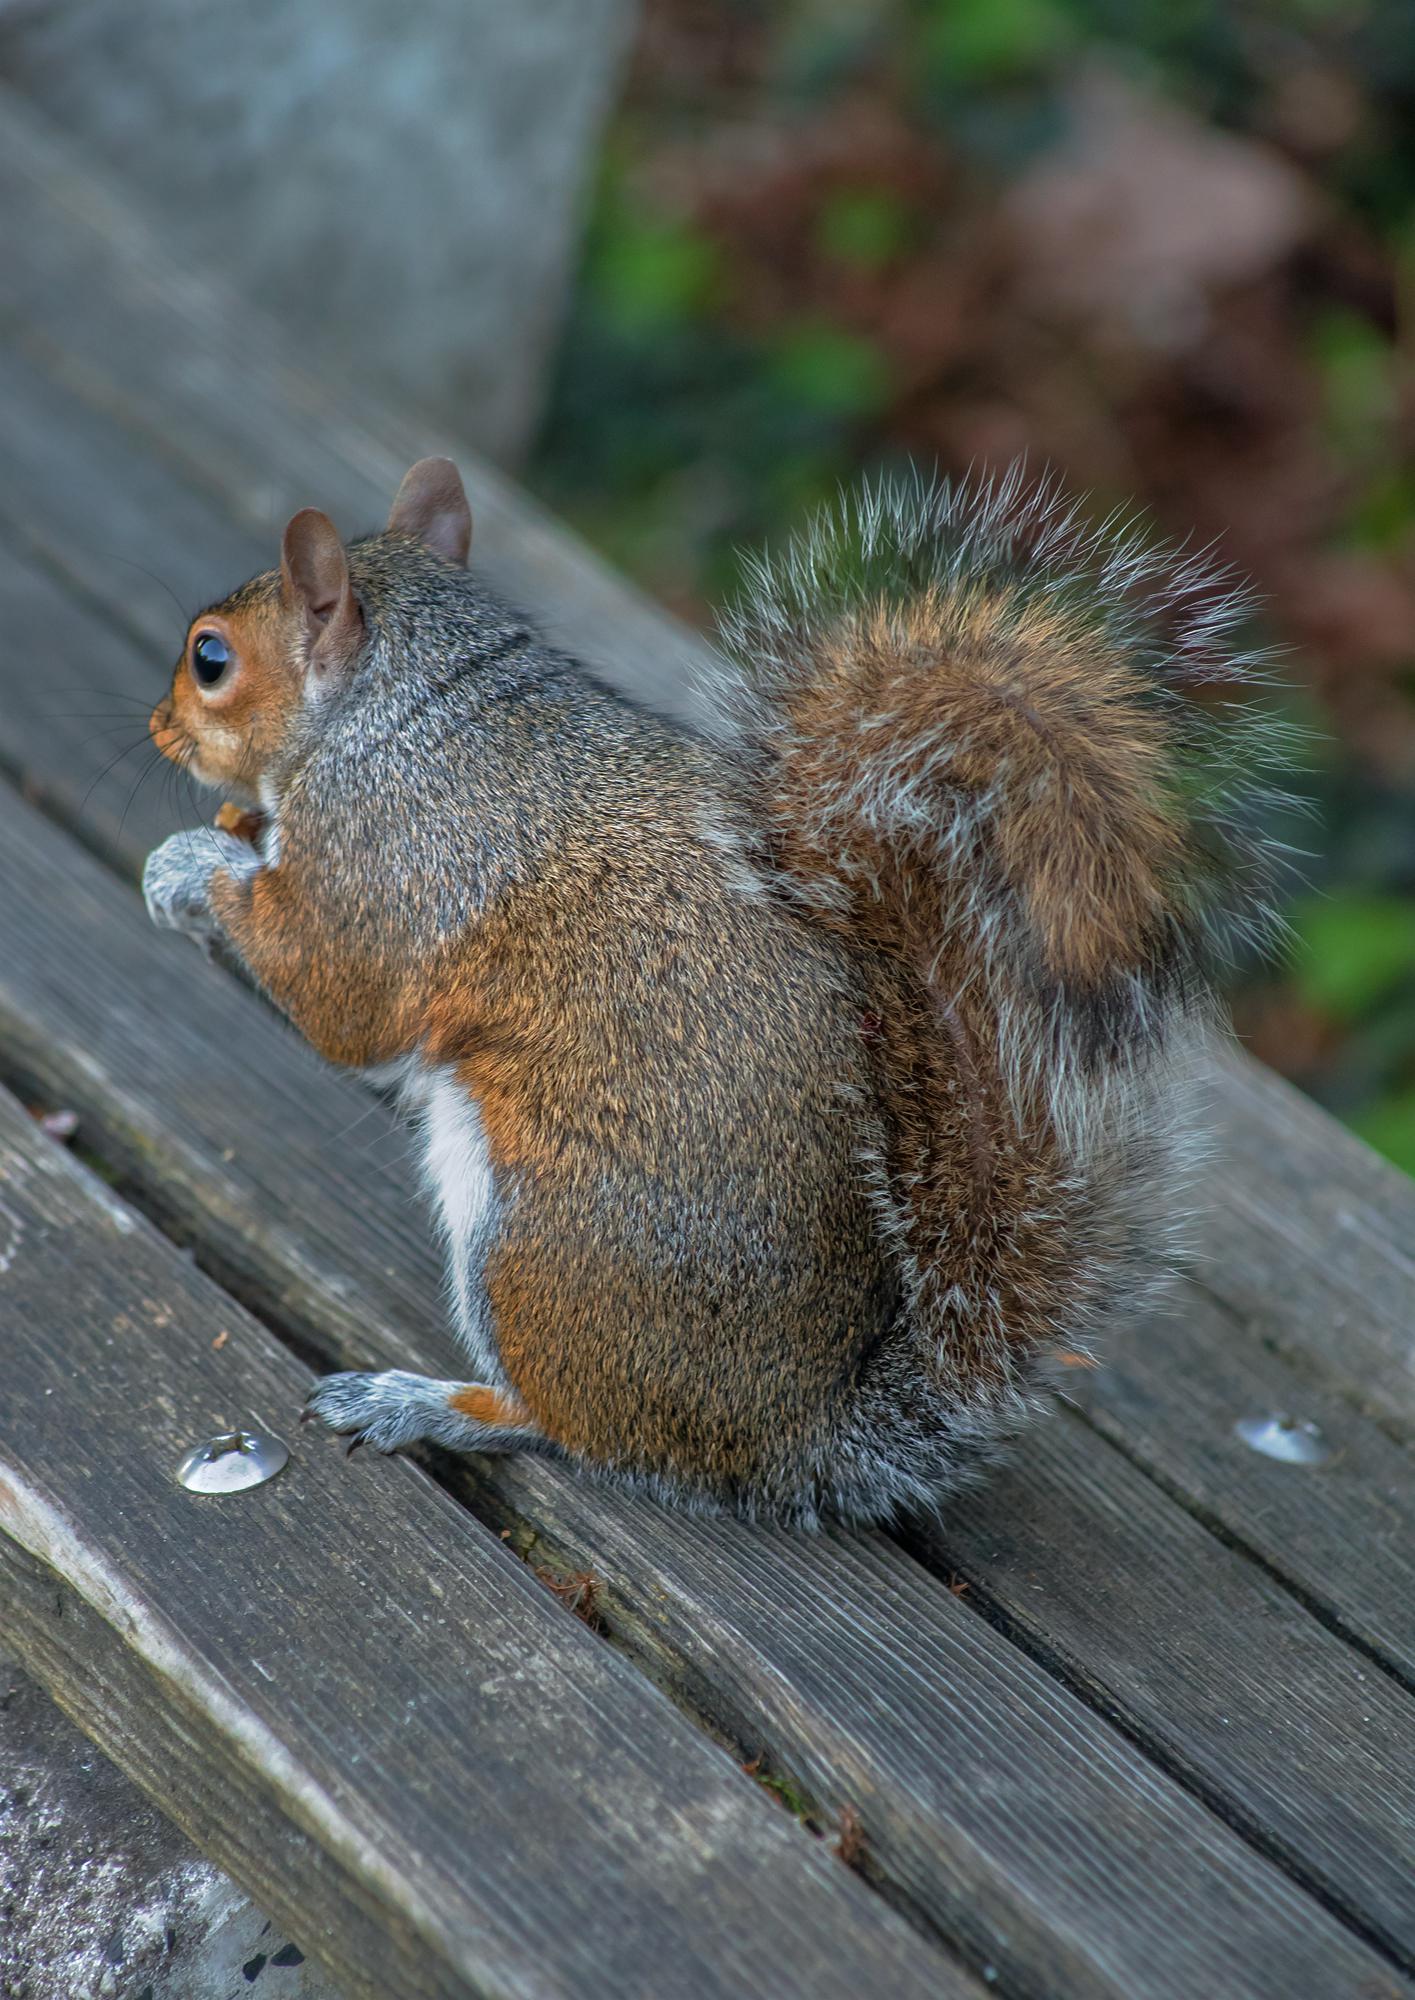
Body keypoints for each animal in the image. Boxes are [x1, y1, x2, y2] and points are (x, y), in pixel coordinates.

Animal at [143, 457, 1288, 1526]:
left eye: (211, 657)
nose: (155, 726)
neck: (401, 712)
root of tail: (796, 1428)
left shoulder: (391, 863)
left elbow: (338, 998)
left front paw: (190, 866)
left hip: (537, 1244)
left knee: (573, 1427)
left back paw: (420, 1403)